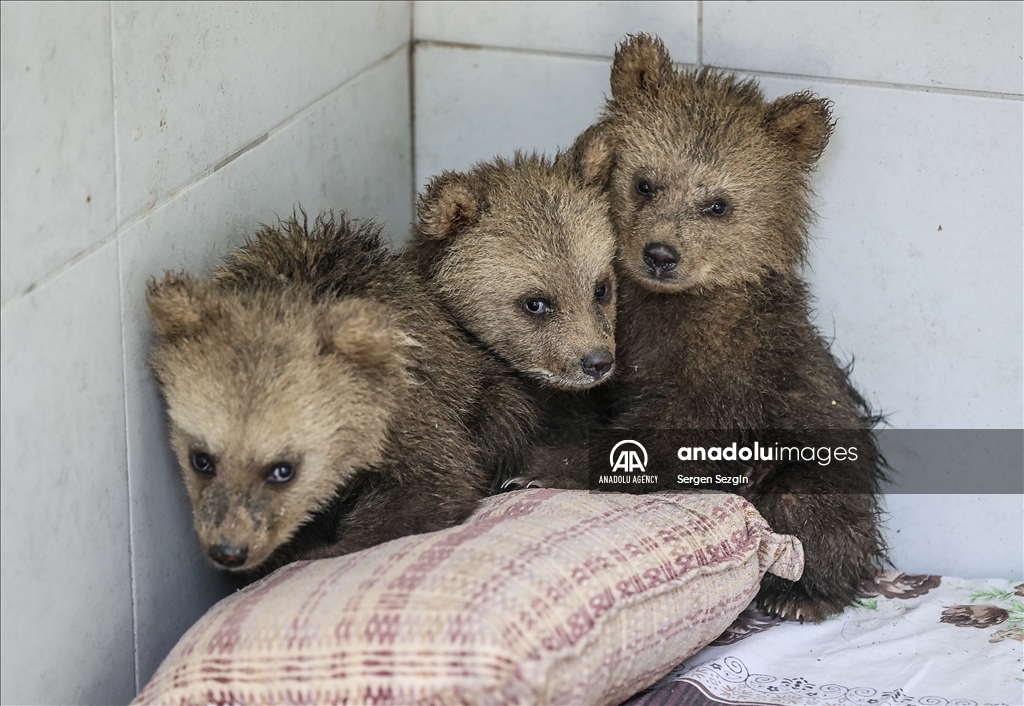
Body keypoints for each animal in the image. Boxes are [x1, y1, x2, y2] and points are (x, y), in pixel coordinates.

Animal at [551, 35, 887, 622]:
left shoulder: (732, 366)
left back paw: (800, 594)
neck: (675, 306)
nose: (661, 254)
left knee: (813, 508)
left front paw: (544, 467)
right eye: (645, 182)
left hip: (815, 452)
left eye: (717, 204)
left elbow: (677, 429)